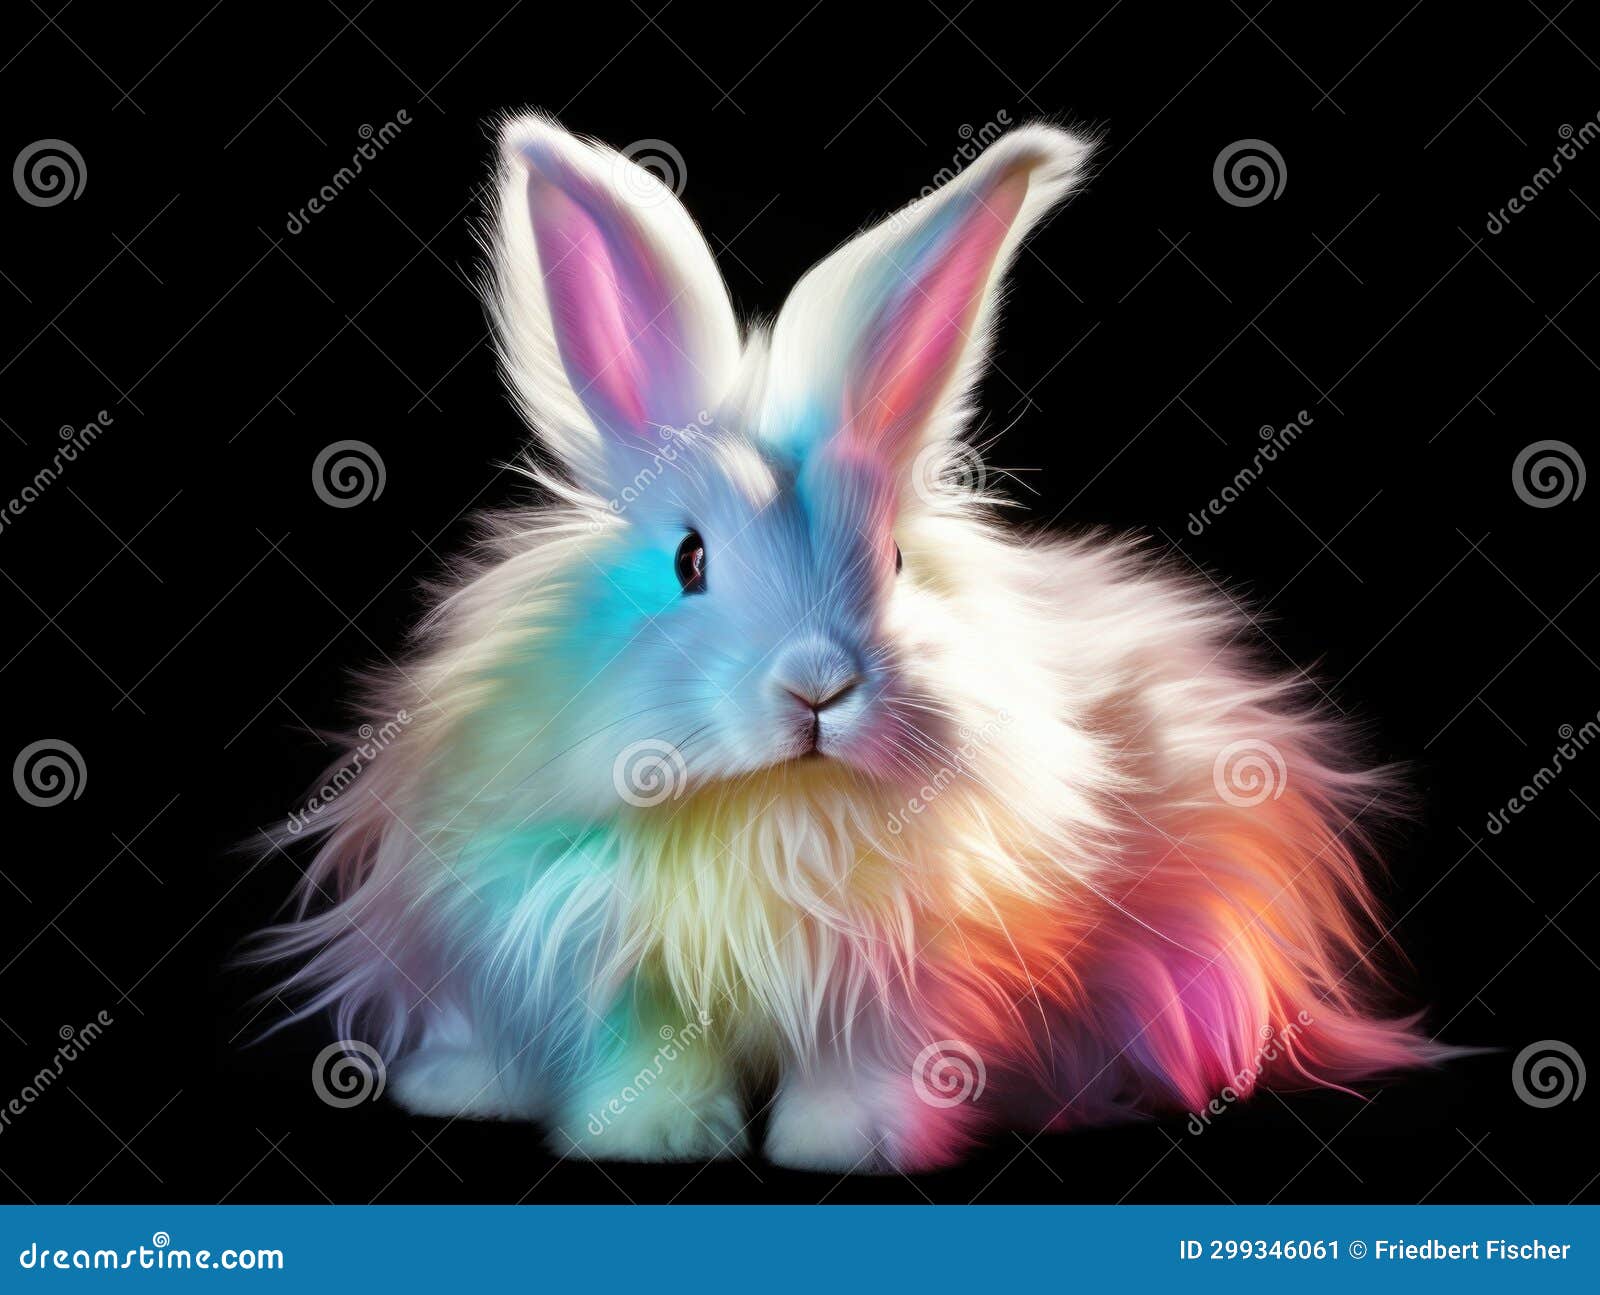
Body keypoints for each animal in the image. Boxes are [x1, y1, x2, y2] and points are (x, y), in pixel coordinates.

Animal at [252, 113, 1453, 1173]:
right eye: (688, 559)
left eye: (894, 561)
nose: (820, 686)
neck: (773, 809)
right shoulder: (620, 959)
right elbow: (651, 1057)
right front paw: (654, 1140)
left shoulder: (904, 975)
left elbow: (862, 1066)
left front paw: (851, 1151)